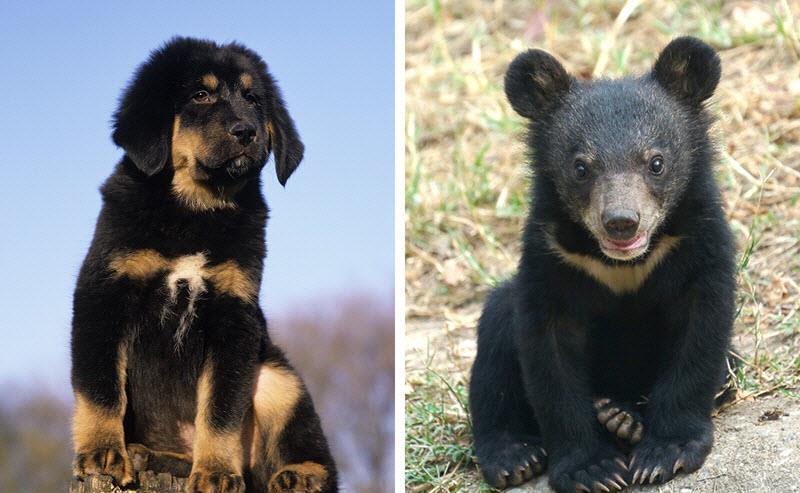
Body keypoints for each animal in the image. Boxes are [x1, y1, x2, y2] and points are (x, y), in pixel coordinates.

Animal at [468, 37, 736, 493]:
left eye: (656, 162)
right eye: (580, 167)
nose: (622, 222)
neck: (621, 262)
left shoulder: (699, 244)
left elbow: (699, 336)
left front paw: (665, 453)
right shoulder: (551, 257)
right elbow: (551, 357)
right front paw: (592, 470)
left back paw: (624, 418)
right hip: (503, 320)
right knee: (495, 351)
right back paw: (514, 456)